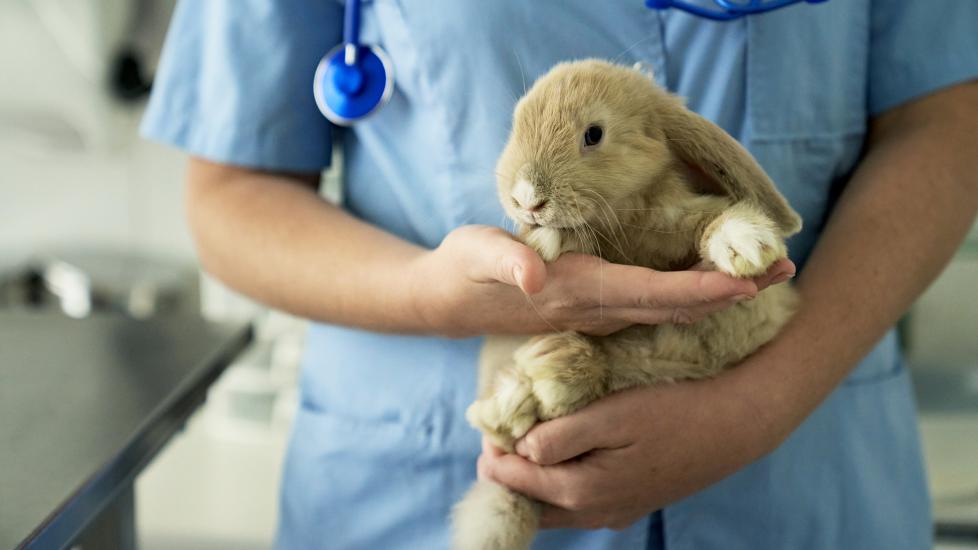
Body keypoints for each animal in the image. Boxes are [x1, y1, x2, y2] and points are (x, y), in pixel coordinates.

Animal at [451, 59, 803, 550]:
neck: (626, 220)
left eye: (593, 134)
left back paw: (545, 378)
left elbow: (710, 222)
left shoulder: (680, 219)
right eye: (517, 123)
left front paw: (747, 245)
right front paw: (545, 240)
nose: (527, 200)